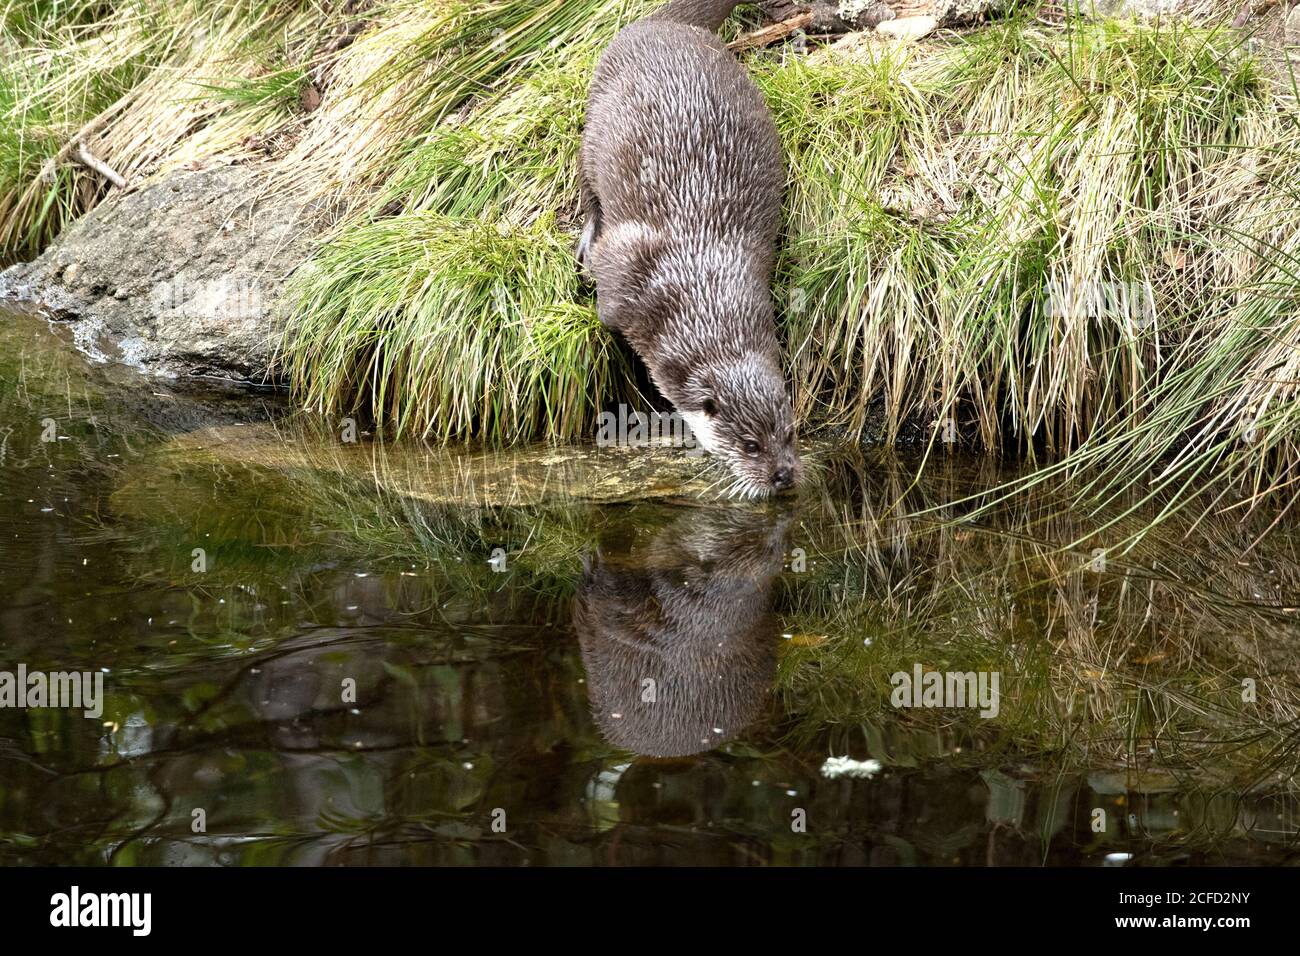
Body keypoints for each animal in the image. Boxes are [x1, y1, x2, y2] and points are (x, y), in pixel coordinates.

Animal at [579, 0, 801, 498]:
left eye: (790, 432)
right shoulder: (624, 272)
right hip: (594, 122)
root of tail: (659, 24)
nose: (783, 476)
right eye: (750, 445)